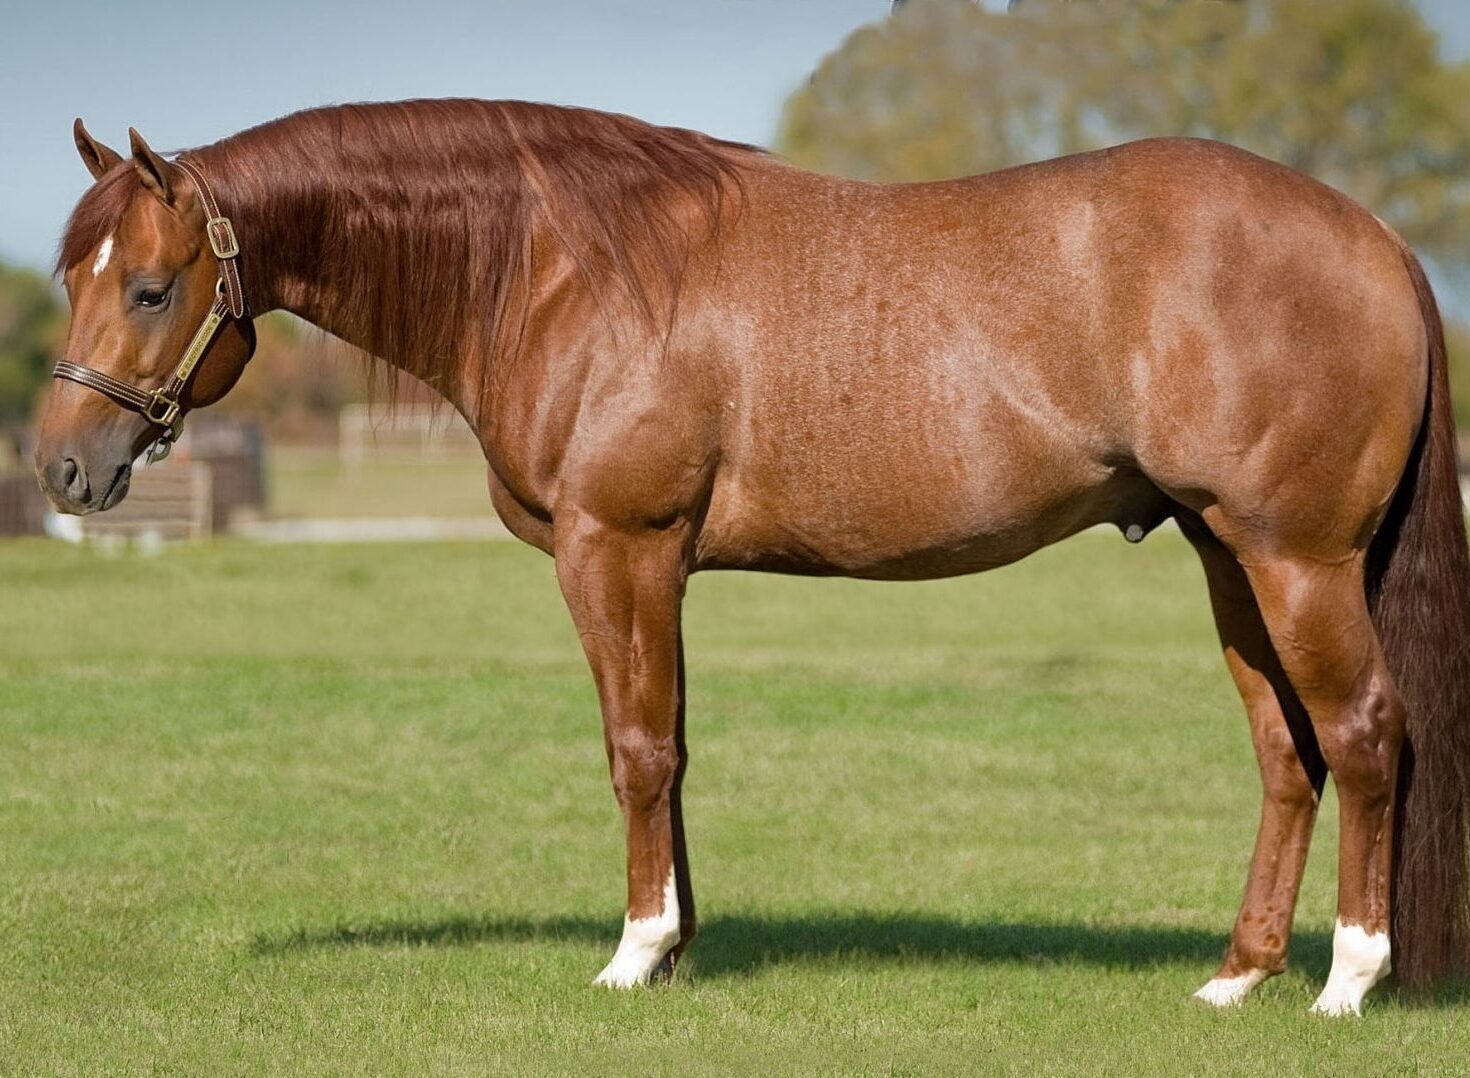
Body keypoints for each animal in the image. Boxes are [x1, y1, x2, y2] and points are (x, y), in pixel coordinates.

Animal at [36, 100, 1470, 1014]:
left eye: (150, 288)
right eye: (70, 277)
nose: (60, 471)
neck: (561, 267)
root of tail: (1379, 242)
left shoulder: (613, 549)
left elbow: (635, 749)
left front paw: (632, 955)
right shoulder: (654, 568)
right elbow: (671, 748)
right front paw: (676, 947)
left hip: (1295, 559)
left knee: (1362, 734)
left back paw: (1346, 980)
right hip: (1228, 556)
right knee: (1286, 753)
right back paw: (1236, 973)